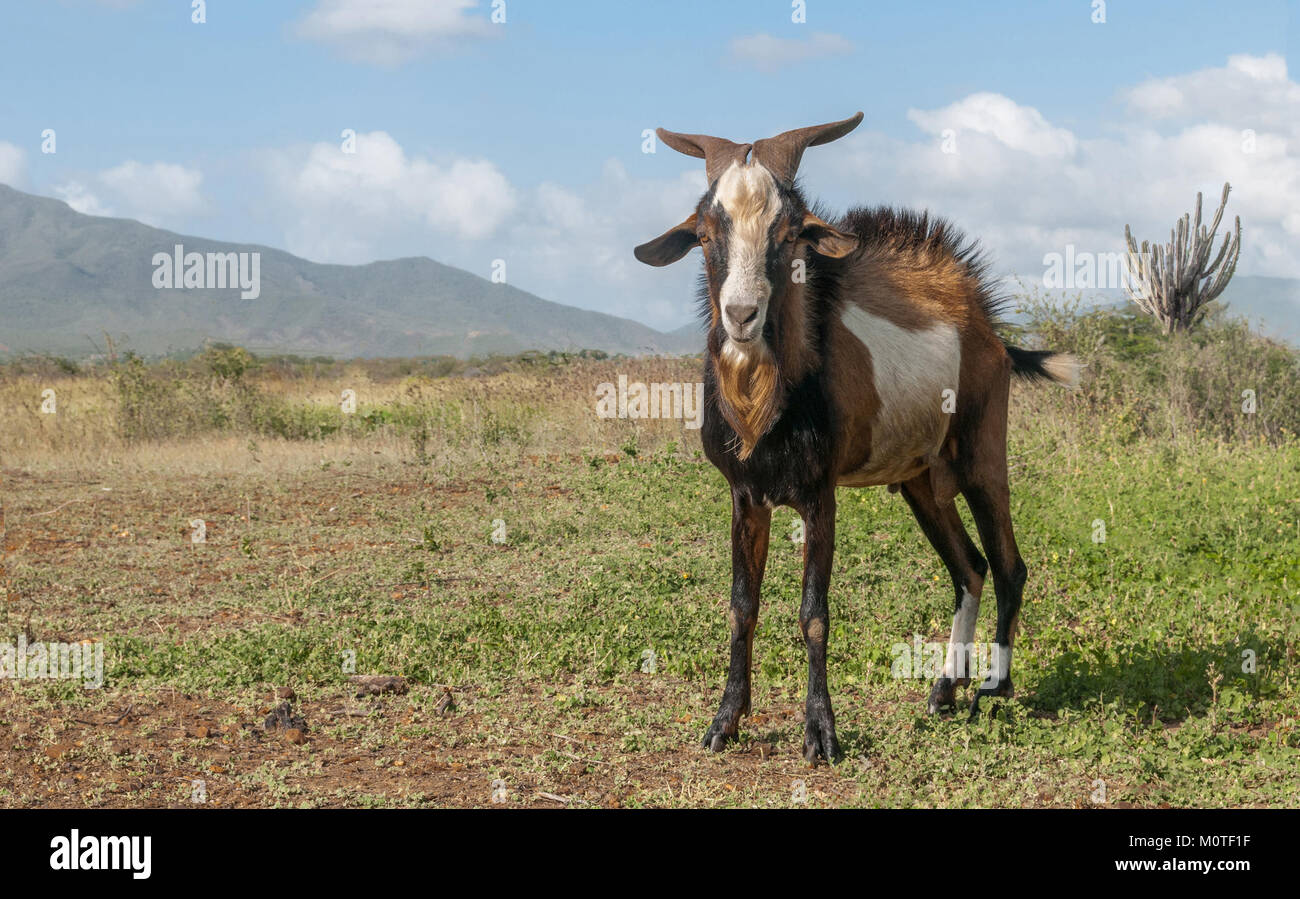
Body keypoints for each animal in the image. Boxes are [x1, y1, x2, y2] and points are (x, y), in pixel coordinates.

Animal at [634, 112, 1078, 763]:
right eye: (705, 231)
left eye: (791, 233)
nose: (742, 316)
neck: (765, 405)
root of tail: (991, 332)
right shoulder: (746, 495)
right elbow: (742, 608)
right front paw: (725, 722)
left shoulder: (820, 495)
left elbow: (813, 612)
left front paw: (821, 733)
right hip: (922, 480)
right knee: (969, 567)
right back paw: (945, 689)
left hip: (981, 455)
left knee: (1008, 564)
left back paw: (992, 688)